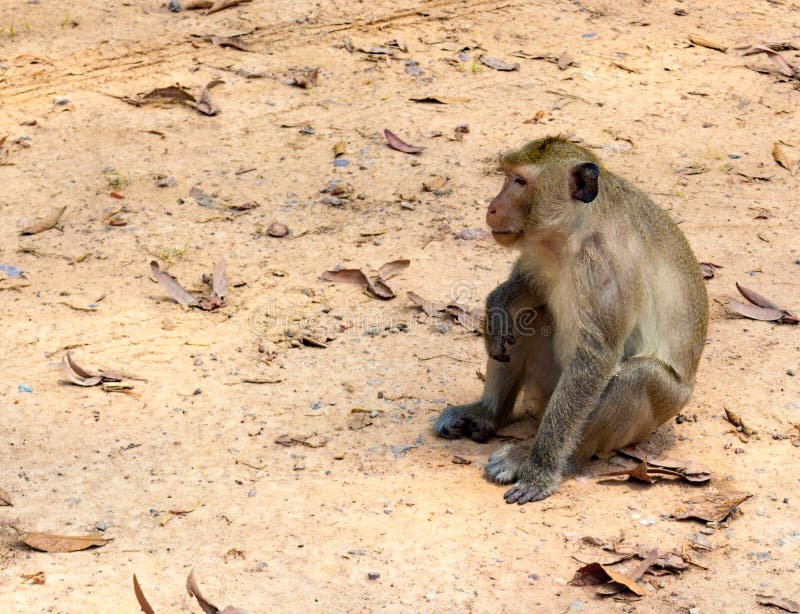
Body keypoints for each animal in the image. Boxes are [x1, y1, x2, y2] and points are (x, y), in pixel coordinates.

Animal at [434, 136, 708, 504]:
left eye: (520, 181)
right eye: (506, 175)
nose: (492, 207)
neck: (572, 234)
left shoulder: (605, 267)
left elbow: (596, 360)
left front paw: (539, 470)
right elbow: (530, 287)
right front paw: (497, 306)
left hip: (657, 409)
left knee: (639, 376)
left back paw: (543, 458)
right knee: (530, 316)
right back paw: (488, 414)